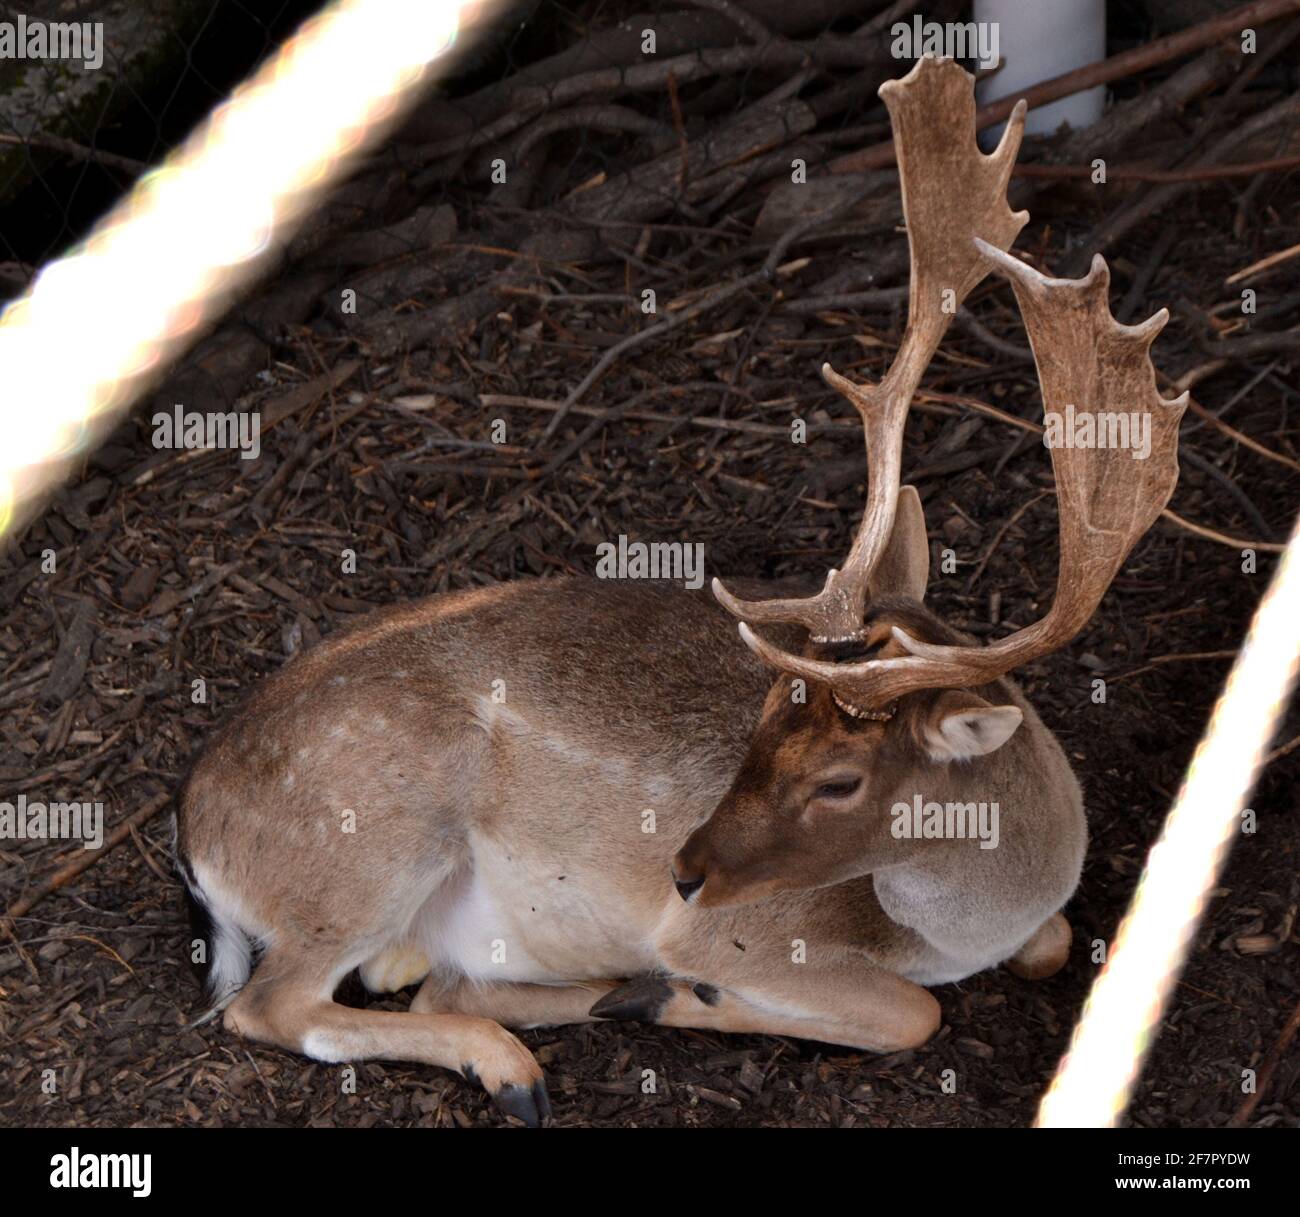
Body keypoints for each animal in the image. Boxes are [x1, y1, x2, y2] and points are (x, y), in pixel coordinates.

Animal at [175, 57, 1188, 1126]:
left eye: (840, 777)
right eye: (764, 720)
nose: (685, 871)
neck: (974, 916)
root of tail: (198, 835)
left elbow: (1052, 943)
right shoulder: (755, 933)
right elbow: (914, 1012)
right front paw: (684, 994)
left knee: (418, 982)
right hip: (369, 847)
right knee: (273, 1004)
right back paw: (523, 1060)